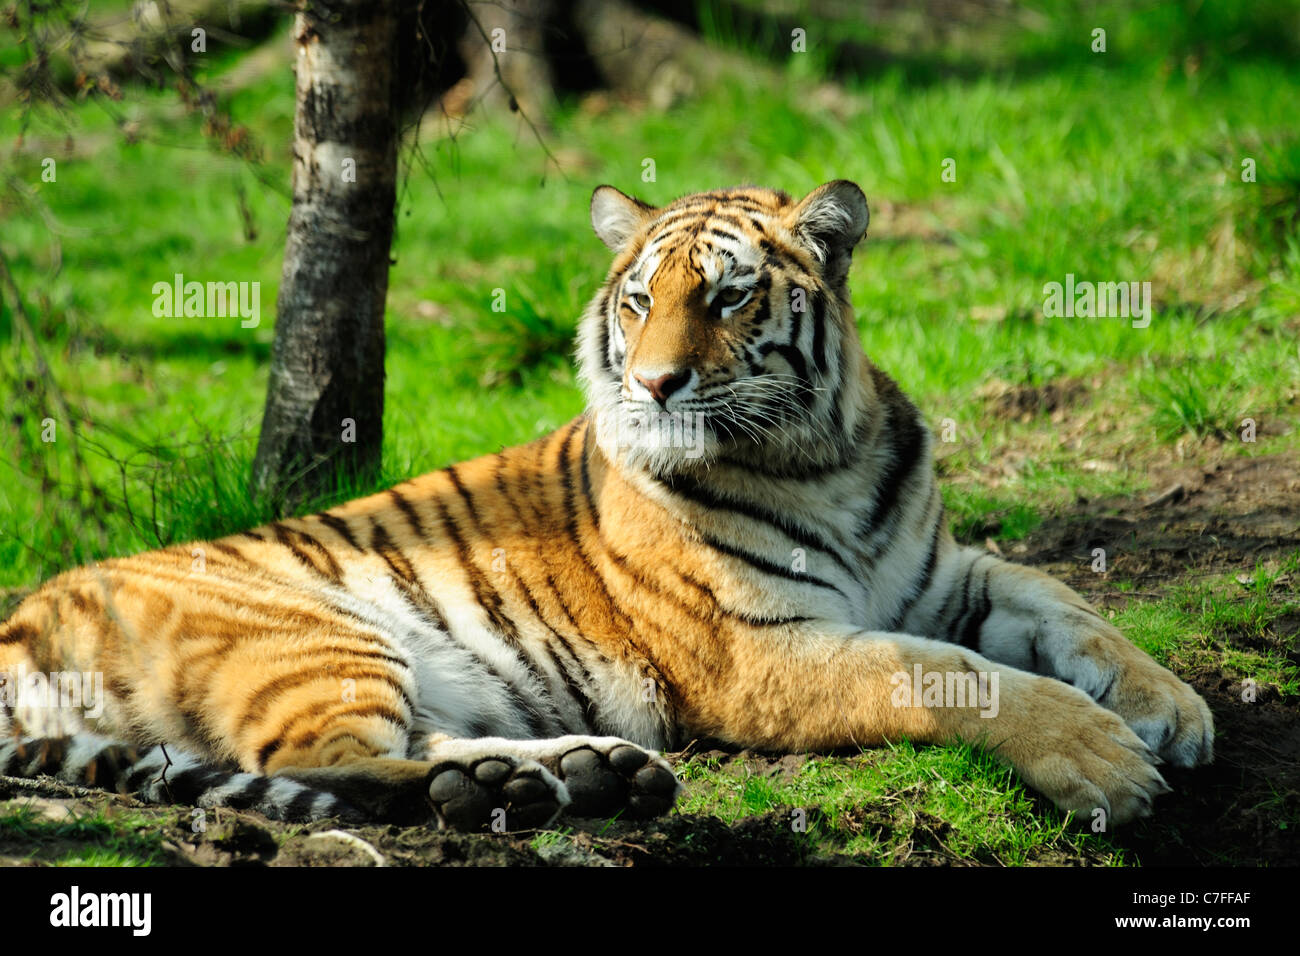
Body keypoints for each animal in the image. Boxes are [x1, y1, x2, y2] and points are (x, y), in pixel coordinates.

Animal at [0, 180, 1213, 833]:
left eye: (727, 297)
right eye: (638, 301)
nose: (657, 382)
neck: (823, 455)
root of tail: (18, 616)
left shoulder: (940, 572)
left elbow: (1065, 601)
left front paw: (1173, 707)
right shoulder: (764, 651)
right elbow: (959, 677)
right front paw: (1104, 761)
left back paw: (574, 771)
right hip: (315, 633)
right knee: (326, 765)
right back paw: (521, 784)